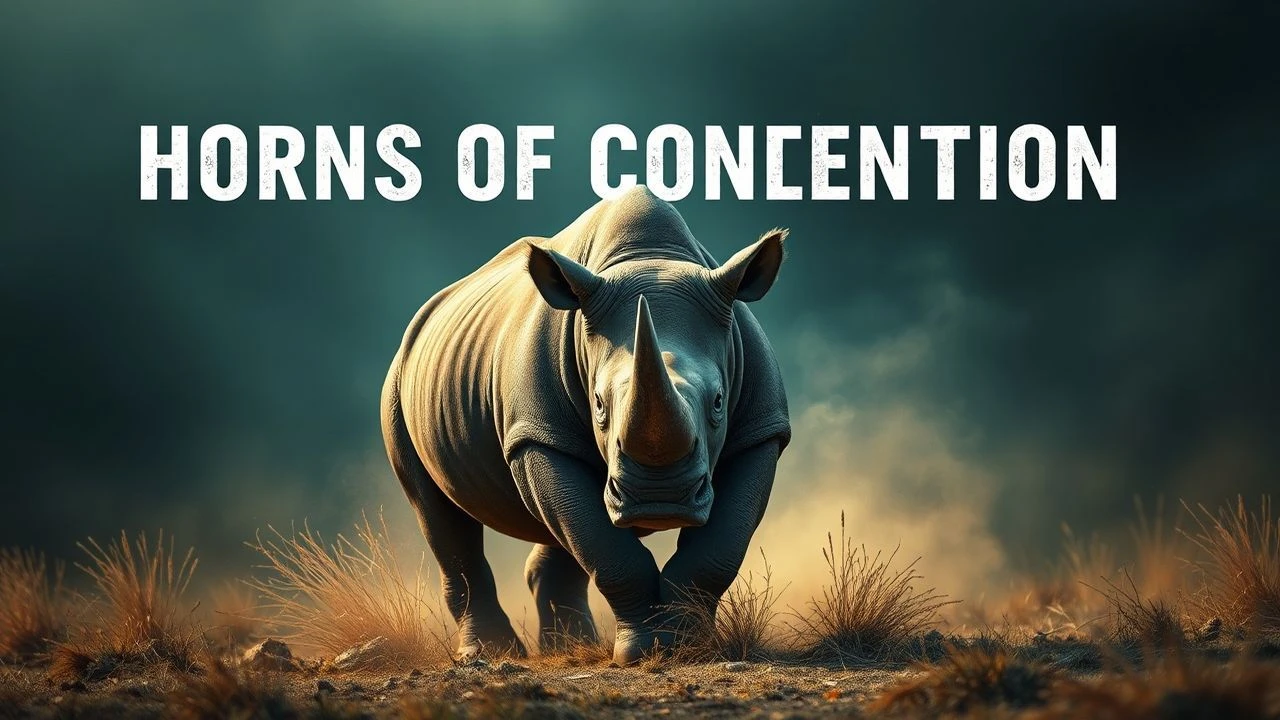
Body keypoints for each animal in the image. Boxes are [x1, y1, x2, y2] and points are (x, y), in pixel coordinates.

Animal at [380, 186, 790, 665]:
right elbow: (609, 552)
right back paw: (495, 654)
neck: (648, 257)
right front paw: (638, 655)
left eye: (719, 402)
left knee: (559, 527)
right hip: (398, 385)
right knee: (438, 511)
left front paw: (688, 648)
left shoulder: (761, 431)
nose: (660, 499)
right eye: (597, 405)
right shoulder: (536, 434)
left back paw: (572, 647)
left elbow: (717, 550)